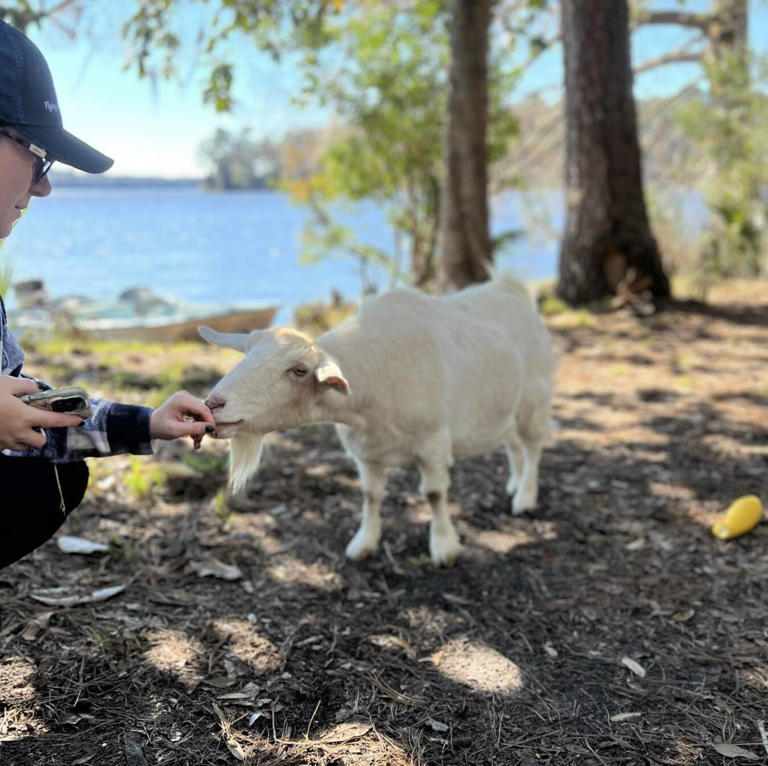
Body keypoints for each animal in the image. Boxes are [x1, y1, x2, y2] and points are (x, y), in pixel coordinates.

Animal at [200, 276, 554, 566]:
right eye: (245, 354)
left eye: (299, 370)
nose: (214, 404)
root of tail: (513, 288)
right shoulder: (366, 450)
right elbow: (370, 496)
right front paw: (364, 544)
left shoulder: (433, 444)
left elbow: (434, 495)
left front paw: (444, 547)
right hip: (504, 405)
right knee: (513, 444)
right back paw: (515, 484)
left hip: (534, 400)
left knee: (533, 447)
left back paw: (525, 497)